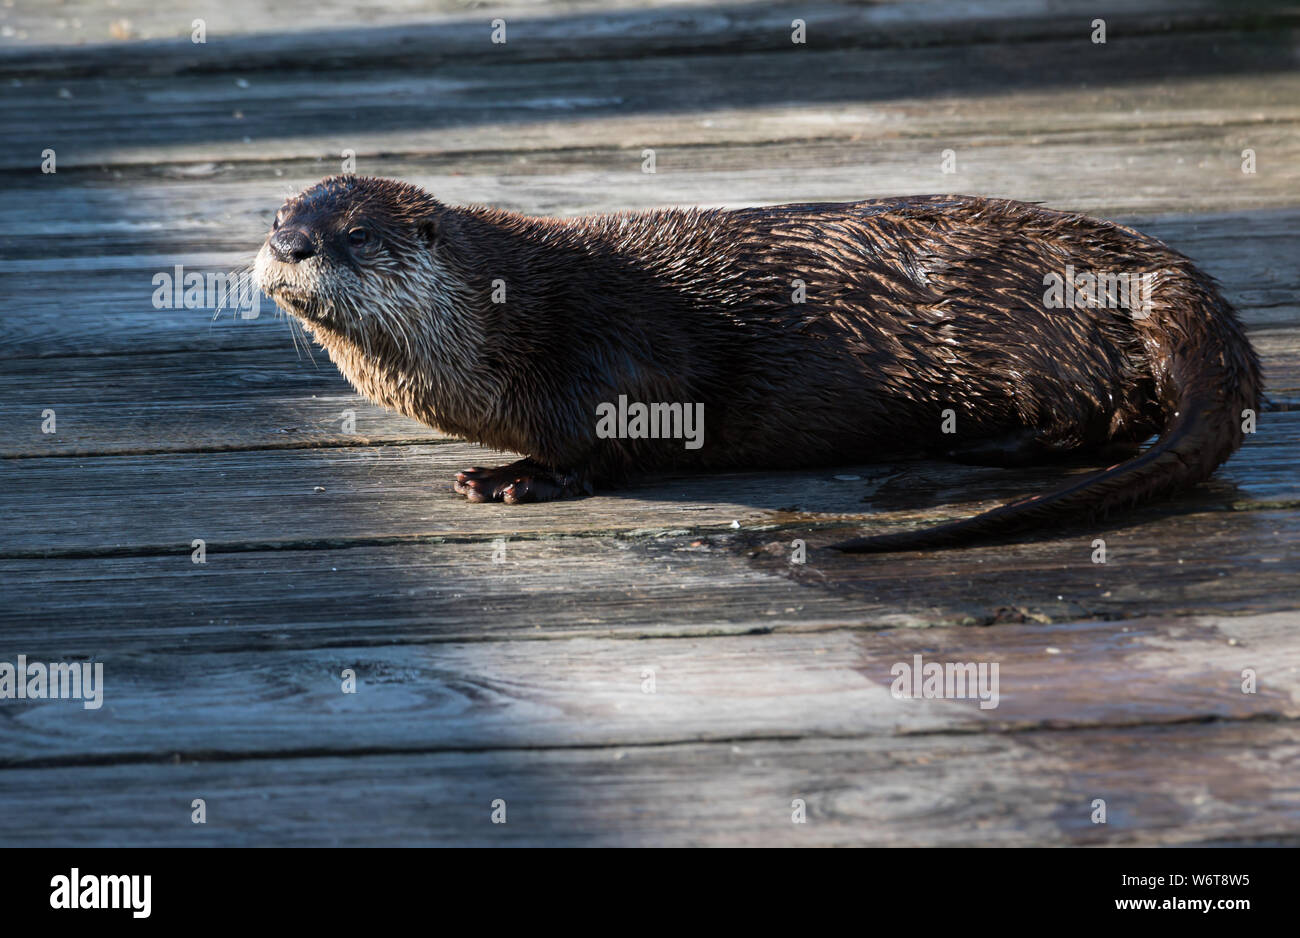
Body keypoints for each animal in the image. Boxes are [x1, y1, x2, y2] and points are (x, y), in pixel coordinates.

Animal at [253, 175, 1261, 552]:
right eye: (280, 216)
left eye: (356, 234)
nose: (293, 245)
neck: (508, 319)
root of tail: (1150, 264)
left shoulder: (619, 353)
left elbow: (618, 437)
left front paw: (516, 477)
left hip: (1036, 330)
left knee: (1101, 416)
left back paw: (987, 447)